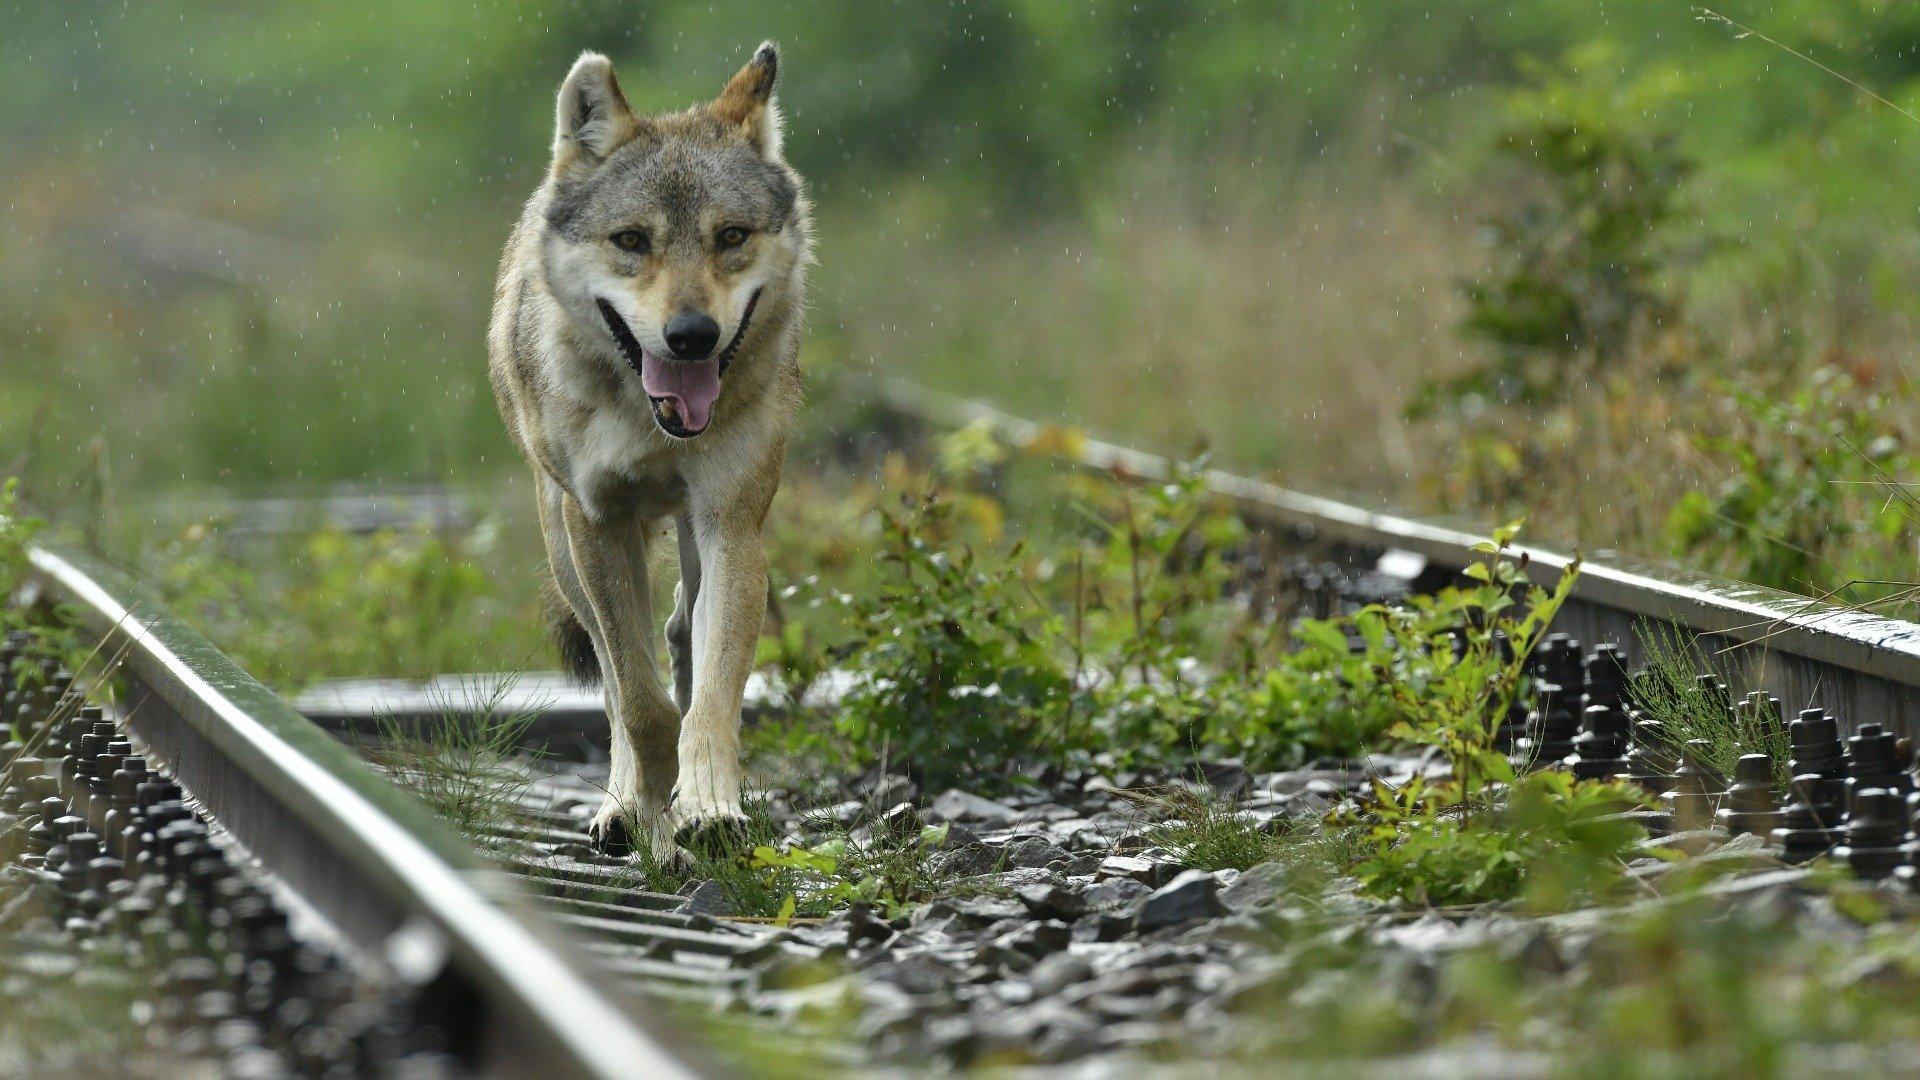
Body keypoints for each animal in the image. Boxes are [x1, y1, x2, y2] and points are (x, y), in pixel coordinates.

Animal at [488, 43, 808, 860]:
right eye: (632, 241)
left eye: (731, 237)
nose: (692, 335)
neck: (650, 420)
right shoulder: (599, 522)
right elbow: (639, 702)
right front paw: (647, 810)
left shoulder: (733, 526)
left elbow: (710, 702)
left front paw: (710, 808)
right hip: (564, 543)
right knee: (609, 672)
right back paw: (622, 807)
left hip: (695, 536)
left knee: (680, 633)